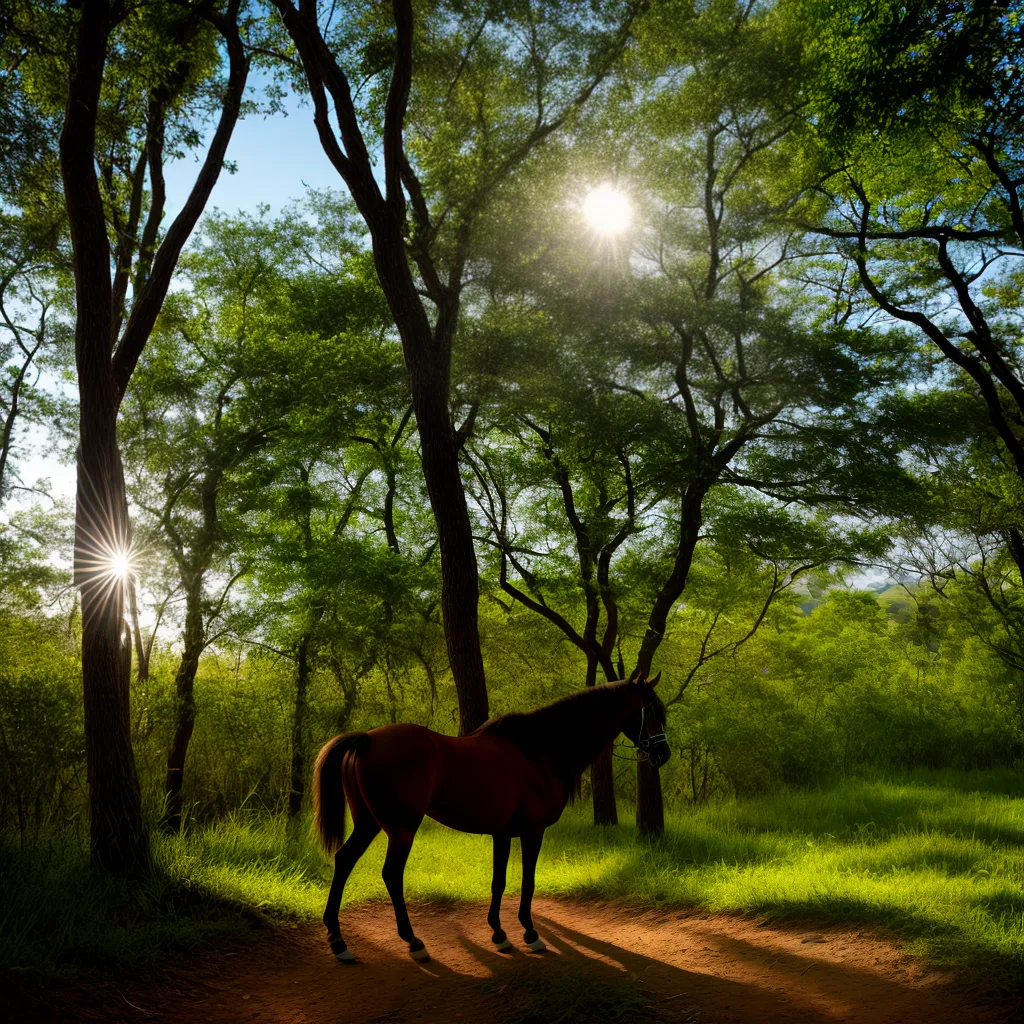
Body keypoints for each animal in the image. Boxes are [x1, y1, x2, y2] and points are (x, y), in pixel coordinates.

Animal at [311, 672, 670, 963]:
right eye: (651, 710)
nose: (662, 753)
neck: (540, 751)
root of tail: (368, 739)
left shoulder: (502, 834)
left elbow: (498, 882)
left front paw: (500, 935)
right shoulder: (533, 831)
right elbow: (527, 881)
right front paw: (530, 934)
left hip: (368, 823)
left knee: (344, 860)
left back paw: (338, 941)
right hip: (401, 830)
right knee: (391, 875)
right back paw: (414, 942)